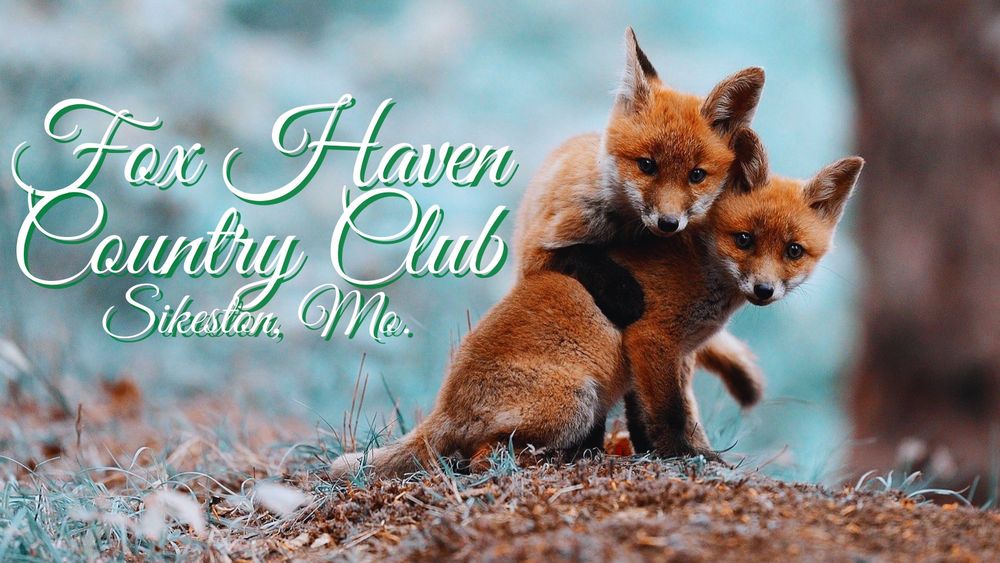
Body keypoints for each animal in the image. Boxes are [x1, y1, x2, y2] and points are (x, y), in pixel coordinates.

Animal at [329, 127, 864, 478]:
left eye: (793, 251)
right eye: (745, 240)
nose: (764, 291)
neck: (701, 265)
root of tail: (446, 403)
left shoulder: (673, 356)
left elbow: (657, 416)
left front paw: (672, 453)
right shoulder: (652, 339)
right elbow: (671, 415)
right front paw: (689, 458)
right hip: (577, 400)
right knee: (479, 457)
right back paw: (547, 460)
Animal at [515, 27, 767, 408]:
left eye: (696, 175)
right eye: (647, 166)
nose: (668, 223)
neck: (624, 230)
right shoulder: (539, 253)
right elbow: (581, 255)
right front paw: (625, 292)